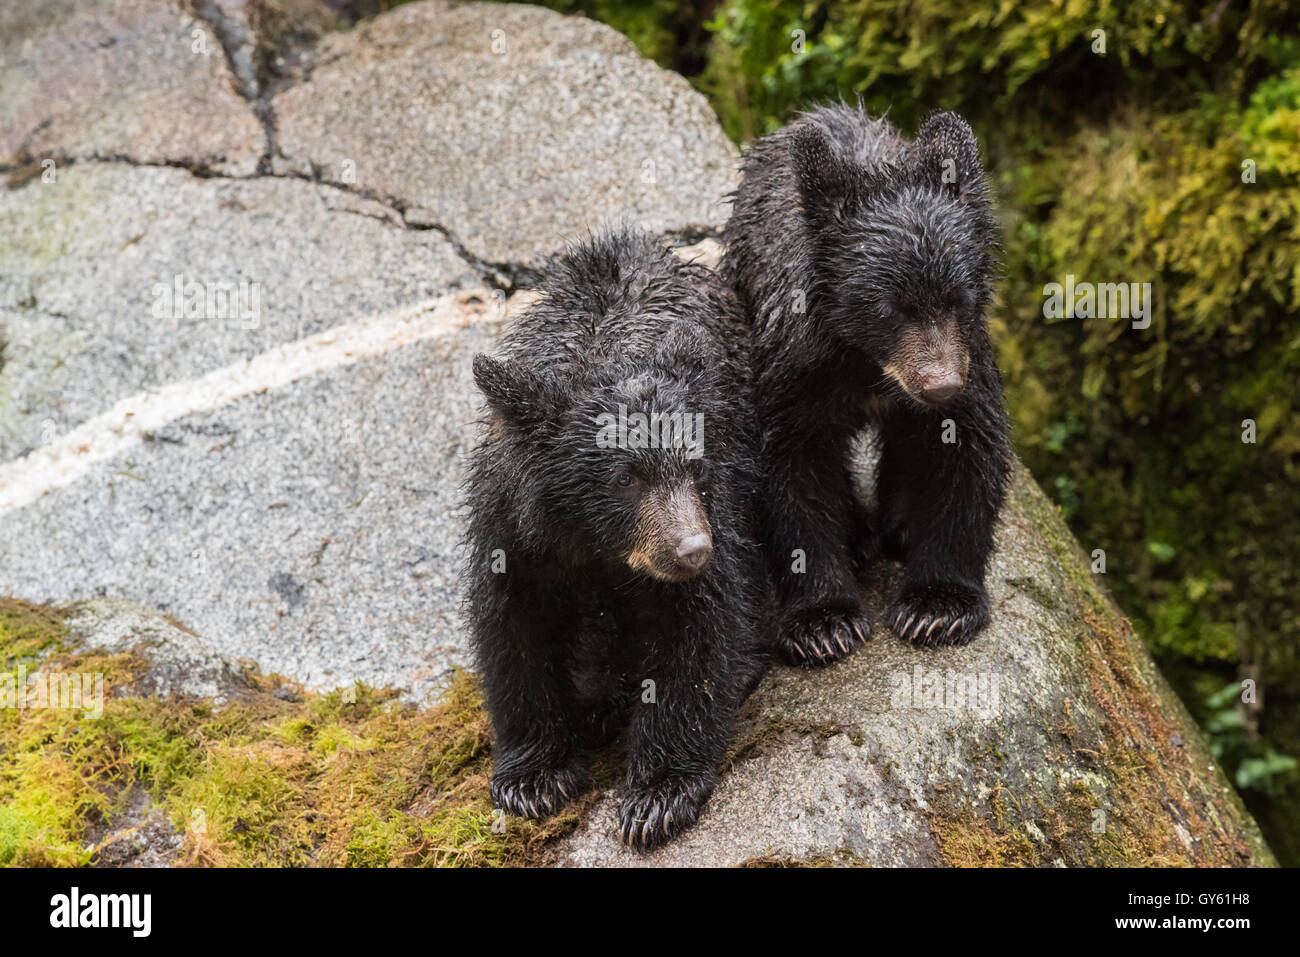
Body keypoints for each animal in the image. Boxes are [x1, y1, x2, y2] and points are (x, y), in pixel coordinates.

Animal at [464, 226, 767, 849]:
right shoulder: (516, 532)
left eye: (693, 466)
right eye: (627, 477)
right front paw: (533, 777)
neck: (592, 541)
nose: (692, 551)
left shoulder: (717, 499)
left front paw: (657, 795)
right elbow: (512, 629)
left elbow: (698, 630)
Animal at [721, 103, 1012, 663]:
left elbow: (966, 453)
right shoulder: (794, 369)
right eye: (890, 308)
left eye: (957, 296)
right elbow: (792, 471)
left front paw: (937, 606)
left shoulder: (969, 353)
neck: (869, 363)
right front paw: (824, 623)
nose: (940, 386)